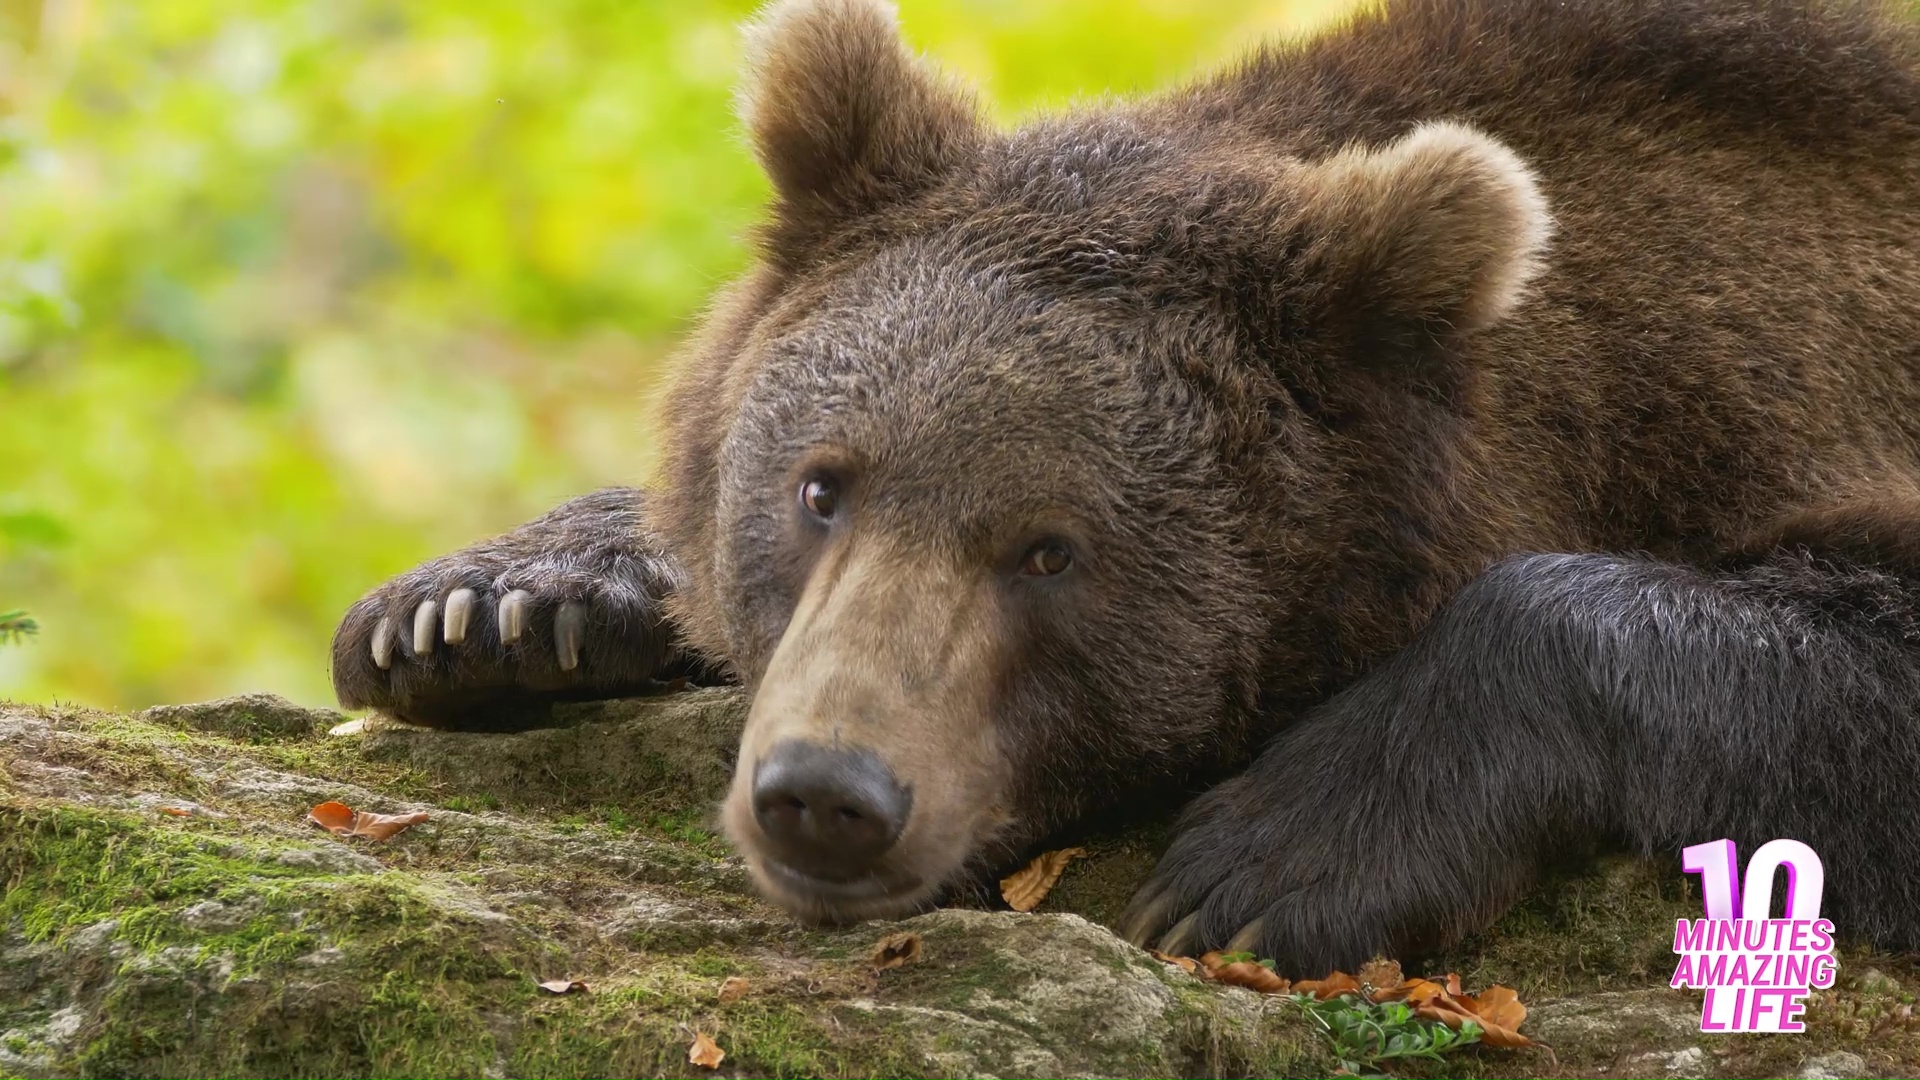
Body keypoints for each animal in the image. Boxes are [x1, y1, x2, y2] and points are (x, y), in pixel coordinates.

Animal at [330, 0, 1920, 973]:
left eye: (1049, 548)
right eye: (821, 486)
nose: (826, 795)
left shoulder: (1800, 387)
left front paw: (1274, 860)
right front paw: (477, 609)